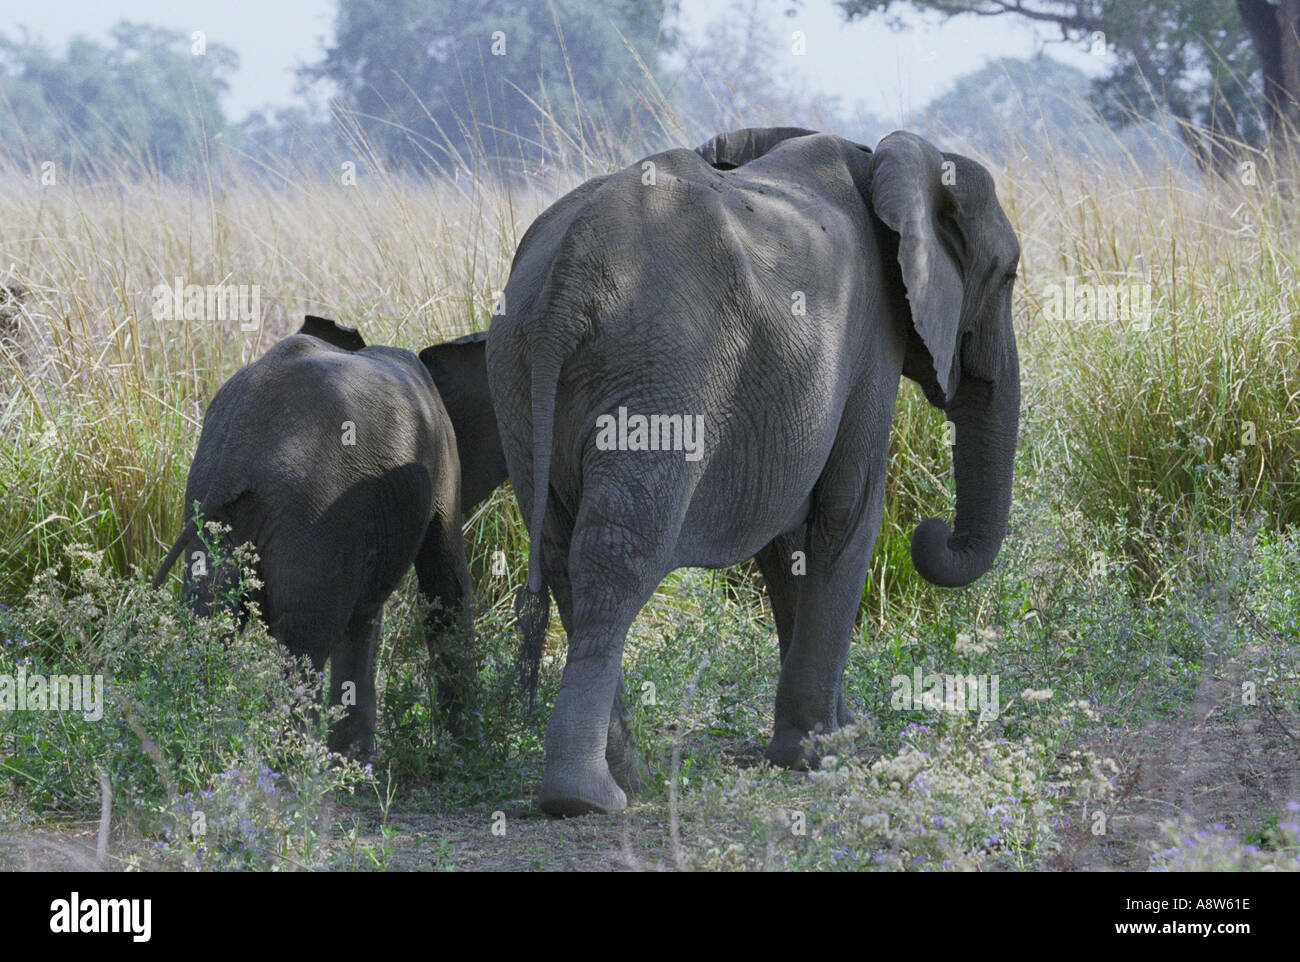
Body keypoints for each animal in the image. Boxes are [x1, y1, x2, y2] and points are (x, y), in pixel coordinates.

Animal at [153, 316, 504, 756]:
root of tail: (237, 460)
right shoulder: (442, 467)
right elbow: (447, 587)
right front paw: (468, 751)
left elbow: (366, 616)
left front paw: (353, 757)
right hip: (313, 519)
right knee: (303, 645)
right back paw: (297, 762)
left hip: (211, 513)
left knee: (210, 624)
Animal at [488, 127, 1022, 815]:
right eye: (1008, 275)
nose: (932, 533)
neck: (881, 161)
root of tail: (566, 281)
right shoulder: (872, 336)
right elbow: (848, 509)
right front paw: (826, 753)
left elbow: (787, 541)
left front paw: (835, 735)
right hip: (664, 371)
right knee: (616, 555)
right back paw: (591, 798)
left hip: (517, 372)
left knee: (557, 549)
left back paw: (628, 777)